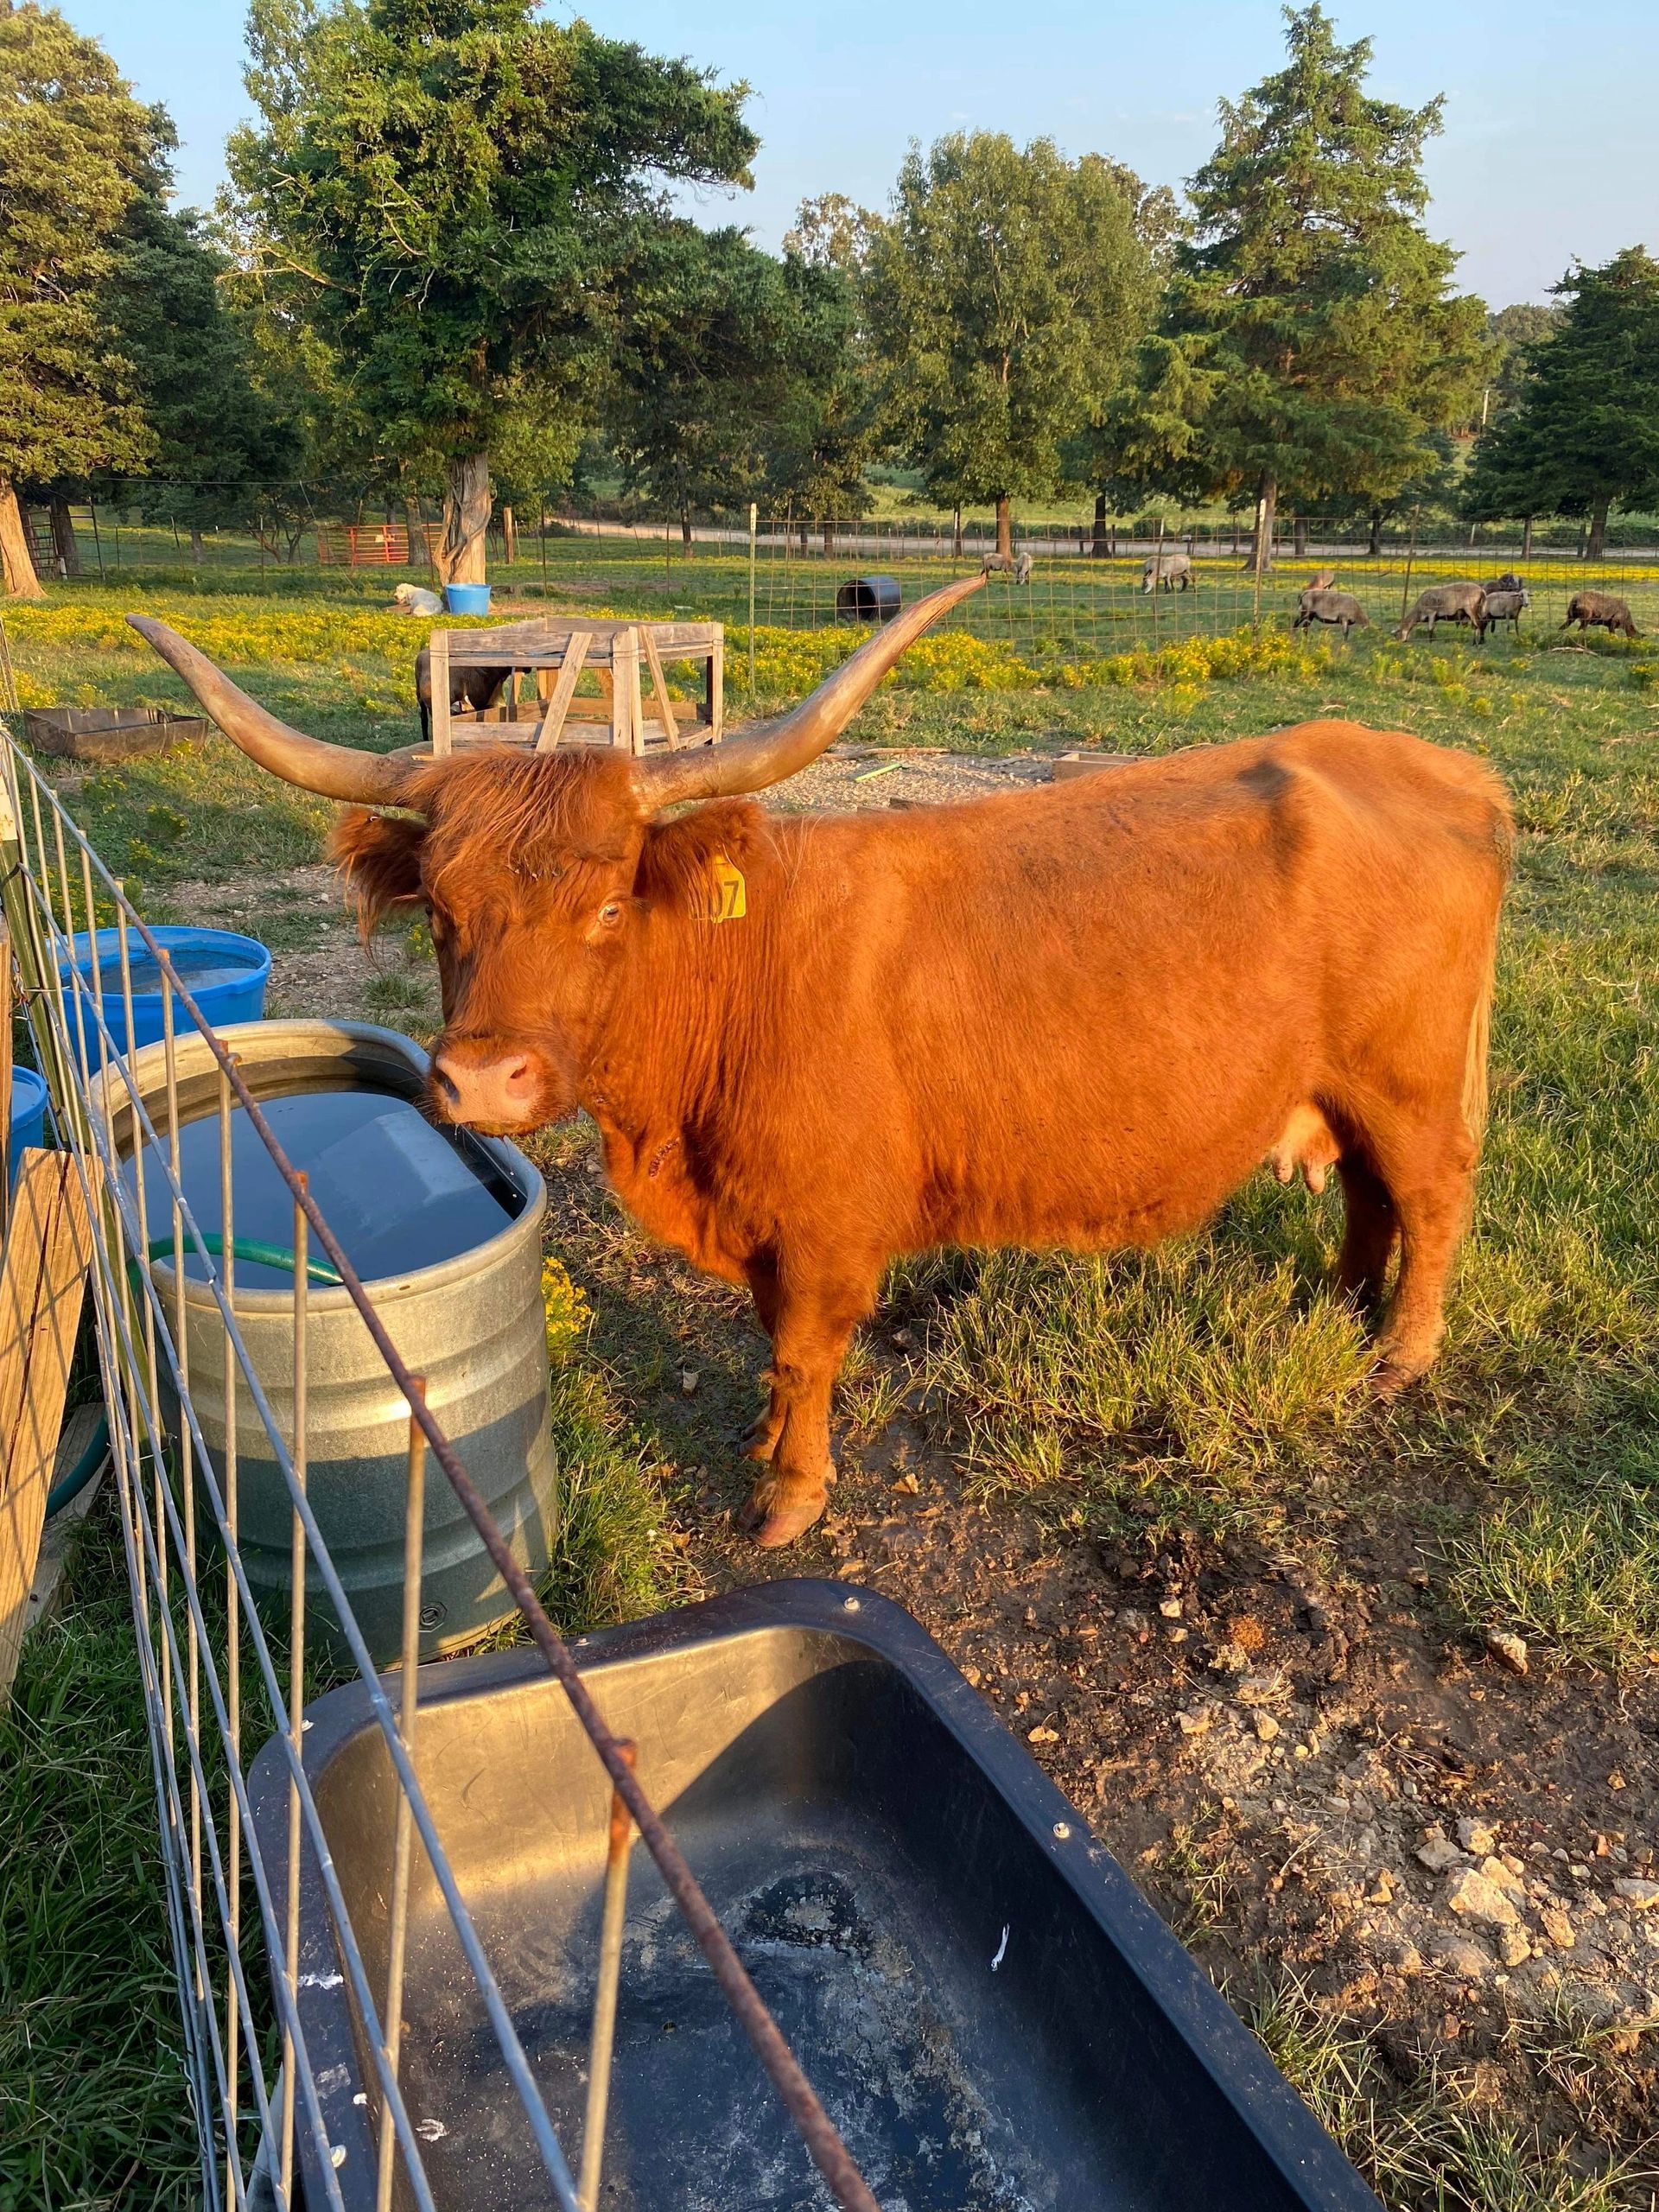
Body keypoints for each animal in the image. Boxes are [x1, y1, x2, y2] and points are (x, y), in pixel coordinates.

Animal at [130, 582, 1511, 1549]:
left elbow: (803, 1351)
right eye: (440, 913)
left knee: (1434, 1191)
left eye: (609, 907)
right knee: (1373, 1192)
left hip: (1406, 1075)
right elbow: (765, 1343)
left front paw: (789, 1493)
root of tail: (1437, 764)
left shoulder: (825, 1226)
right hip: (1346, 1082)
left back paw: (1401, 1354)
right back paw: (1342, 1304)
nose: (482, 1085)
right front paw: (760, 1438)